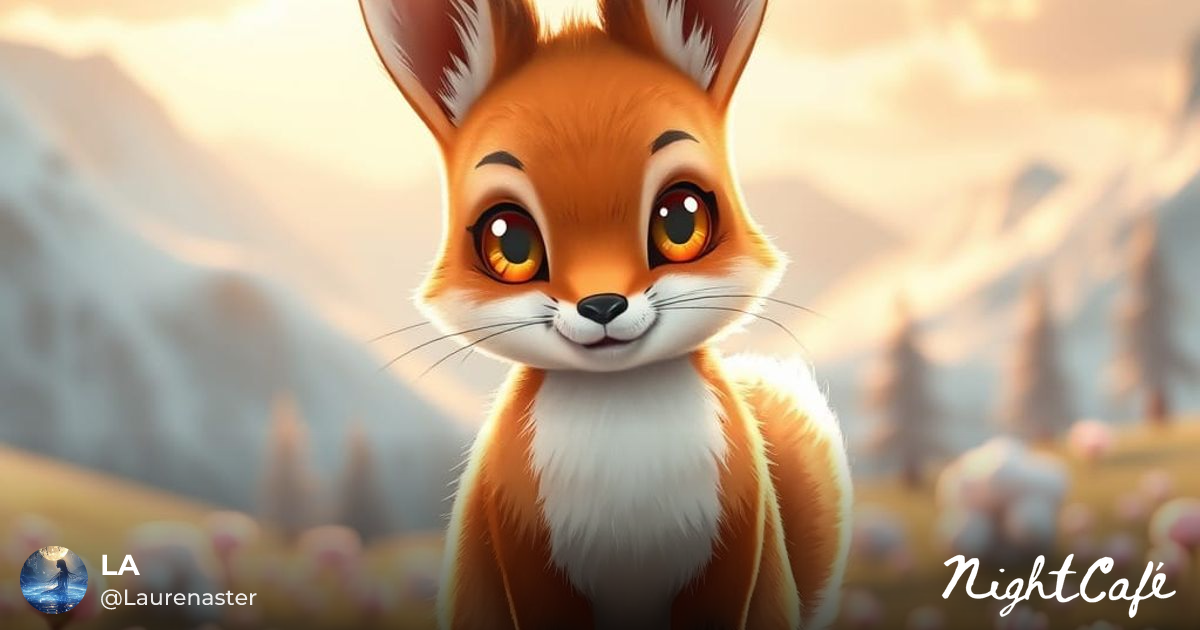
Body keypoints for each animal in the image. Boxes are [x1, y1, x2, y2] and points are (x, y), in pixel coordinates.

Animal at [359, 0, 852, 628]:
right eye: (508, 240)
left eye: (682, 219)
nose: (602, 305)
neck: (622, 416)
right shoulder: (527, 556)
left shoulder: (731, 551)